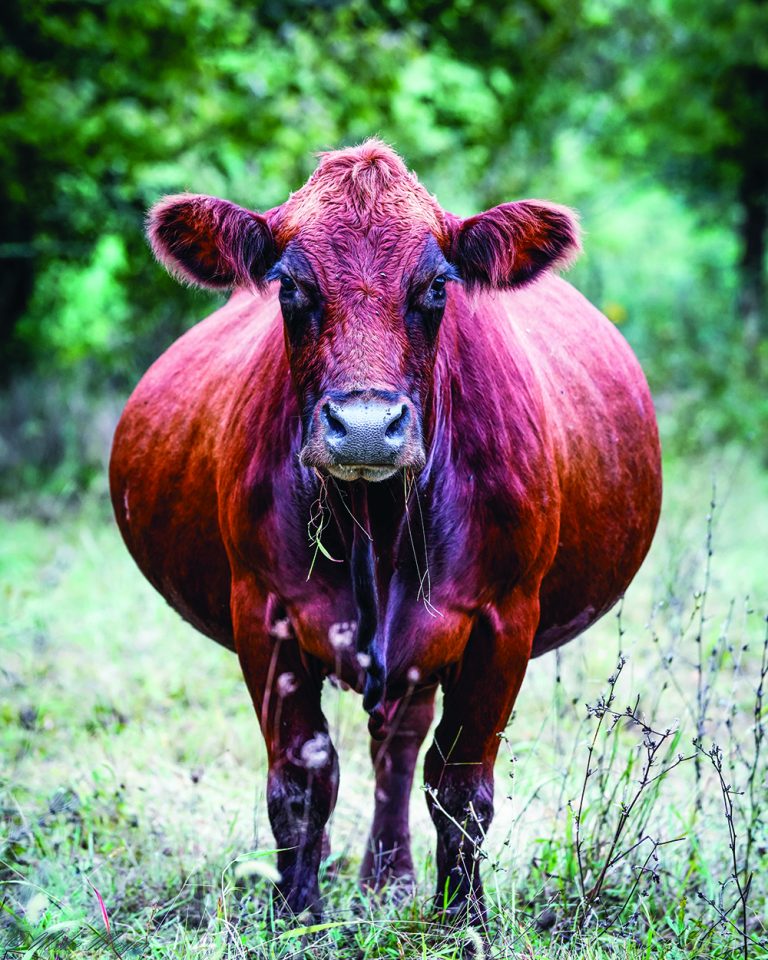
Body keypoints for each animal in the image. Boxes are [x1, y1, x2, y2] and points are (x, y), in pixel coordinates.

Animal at [109, 140, 661, 924]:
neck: (376, 518)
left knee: (401, 744)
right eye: (290, 286)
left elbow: (460, 788)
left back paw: (391, 879)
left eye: (436, 286)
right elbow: (301, 780)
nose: (366, 426)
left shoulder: (504, 619)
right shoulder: (263, 611)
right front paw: (297, 915)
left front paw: (463, 921)